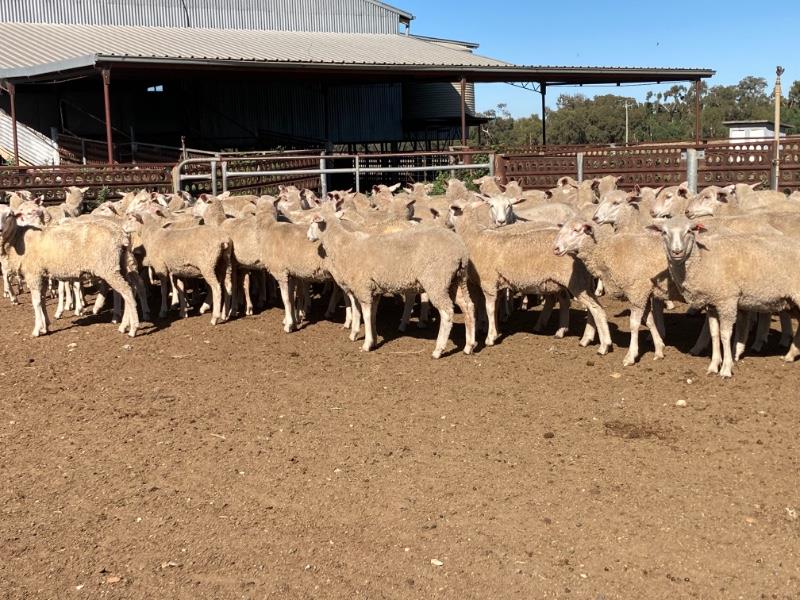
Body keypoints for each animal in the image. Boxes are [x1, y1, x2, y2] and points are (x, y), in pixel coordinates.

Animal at [1, 204, 139, 337]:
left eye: (9, 215)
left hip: (109, 267)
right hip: (121, 264)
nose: (0, 229)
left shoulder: (33, 274)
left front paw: (36, 330)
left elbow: (36, 302)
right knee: (129, 290)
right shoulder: (42, 275)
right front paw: (45, 326)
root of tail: (121, 234)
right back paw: (124, 326)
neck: (18, 239)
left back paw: (133, 328)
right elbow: (42, 300)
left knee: (127, 291)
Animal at [307, 202, 475, 358]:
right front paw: (372, 339)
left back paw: (438, 350)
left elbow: (365, 315)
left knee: (447, 312)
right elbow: (369, 315)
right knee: (468, 306)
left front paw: (366, 344)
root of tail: (461, 250)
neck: (342, 245)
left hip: (436, 281)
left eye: (313, 221)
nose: (308, 237)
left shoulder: (362, 288)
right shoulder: (370, 290)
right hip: (455, 280)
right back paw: (469, 346)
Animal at [648, 217, 800, 377]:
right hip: (792, 300)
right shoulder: (712, 304)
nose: (677, 252)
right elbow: (715, 334)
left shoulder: (727, 301)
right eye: (664, 232)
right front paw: (714, 366)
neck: (703, 260)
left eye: (690, 230)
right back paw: (790, 355)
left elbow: (725, 335)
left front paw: (726, 368)